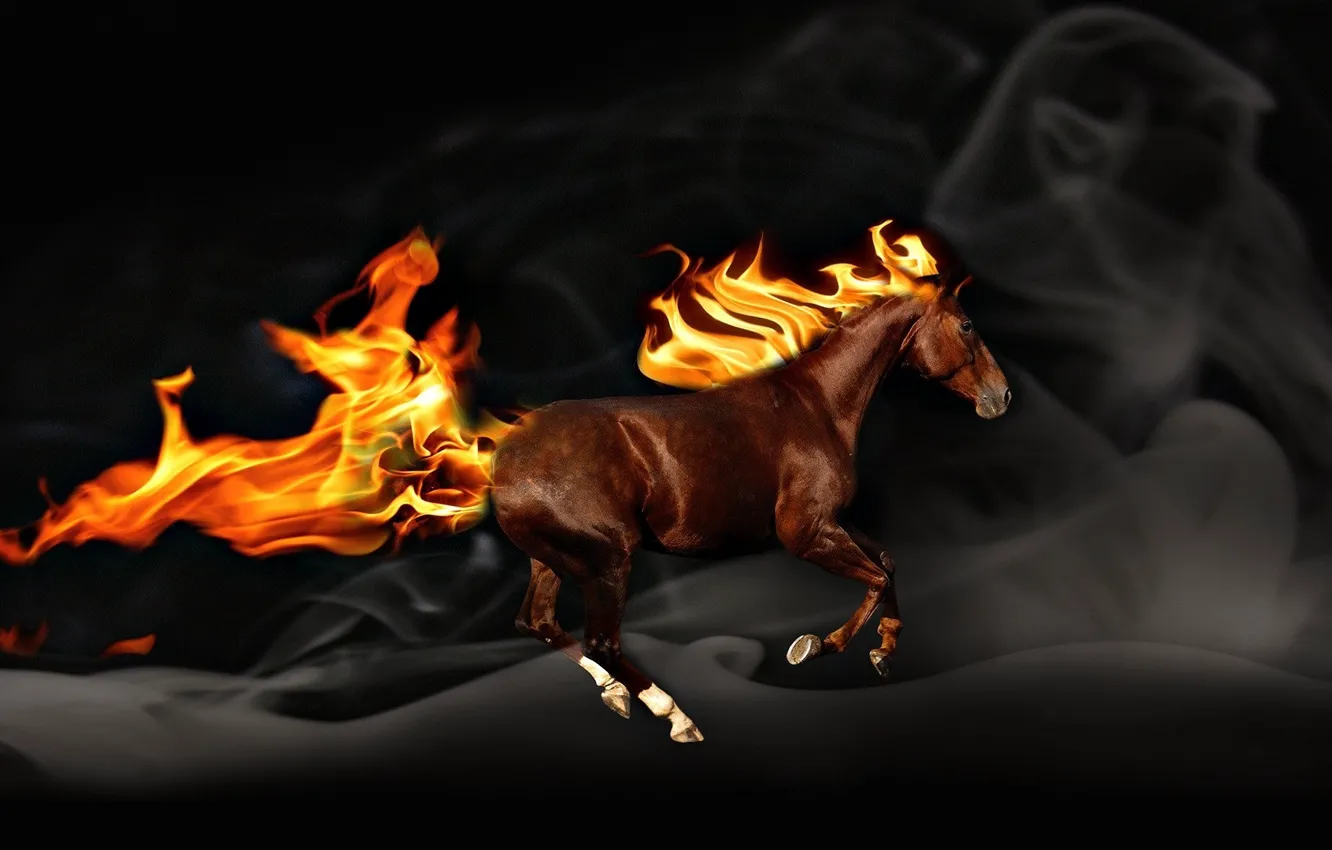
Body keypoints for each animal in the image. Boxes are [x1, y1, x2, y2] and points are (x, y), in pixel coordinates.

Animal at [490, 270, 1011, 743]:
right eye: (966, 325)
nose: (1001, 395)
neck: (818, 405)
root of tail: (504, 461)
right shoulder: (805, 532)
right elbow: (877, 578)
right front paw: (817, 646)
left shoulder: (832, 523)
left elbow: (887, 561)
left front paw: (884, 649)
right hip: (608, 561)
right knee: (602, 643)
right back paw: (675, 716)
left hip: (551, 559)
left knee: (537, 622)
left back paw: (615, 693)